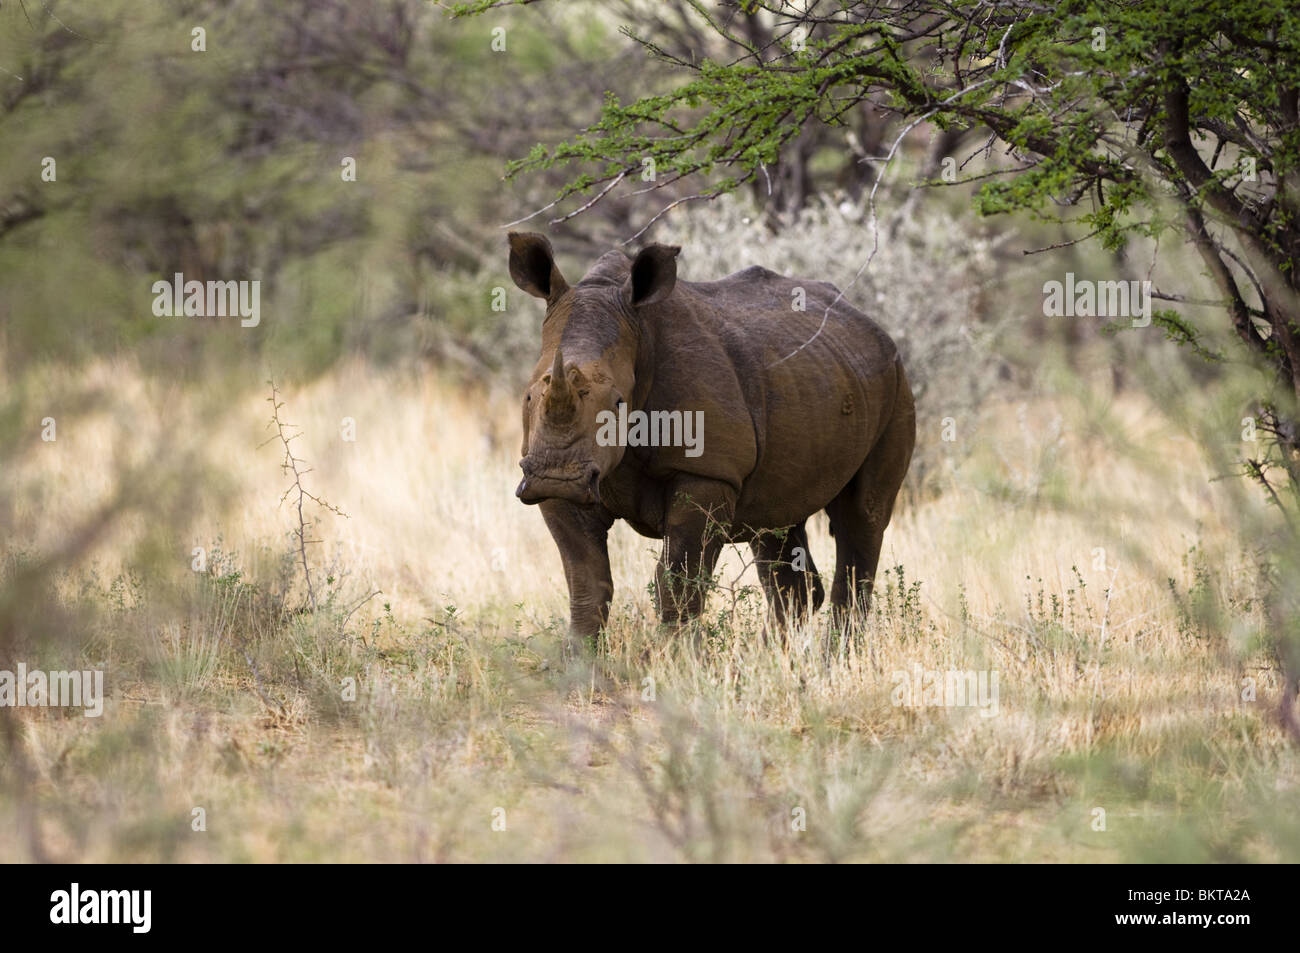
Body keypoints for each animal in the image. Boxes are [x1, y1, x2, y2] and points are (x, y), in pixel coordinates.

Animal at [509, 231, 915, 642]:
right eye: (528, 396)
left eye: (619, 403)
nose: (556, 477)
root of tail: (871, 323)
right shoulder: (564, 481)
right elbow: (588, 583)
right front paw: (580, 658)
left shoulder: (707, 472)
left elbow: (678, 582)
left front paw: (676, 657)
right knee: (776, 525)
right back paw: (772, 655)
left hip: (895, 382)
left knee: (862, 516)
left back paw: (838, 653)